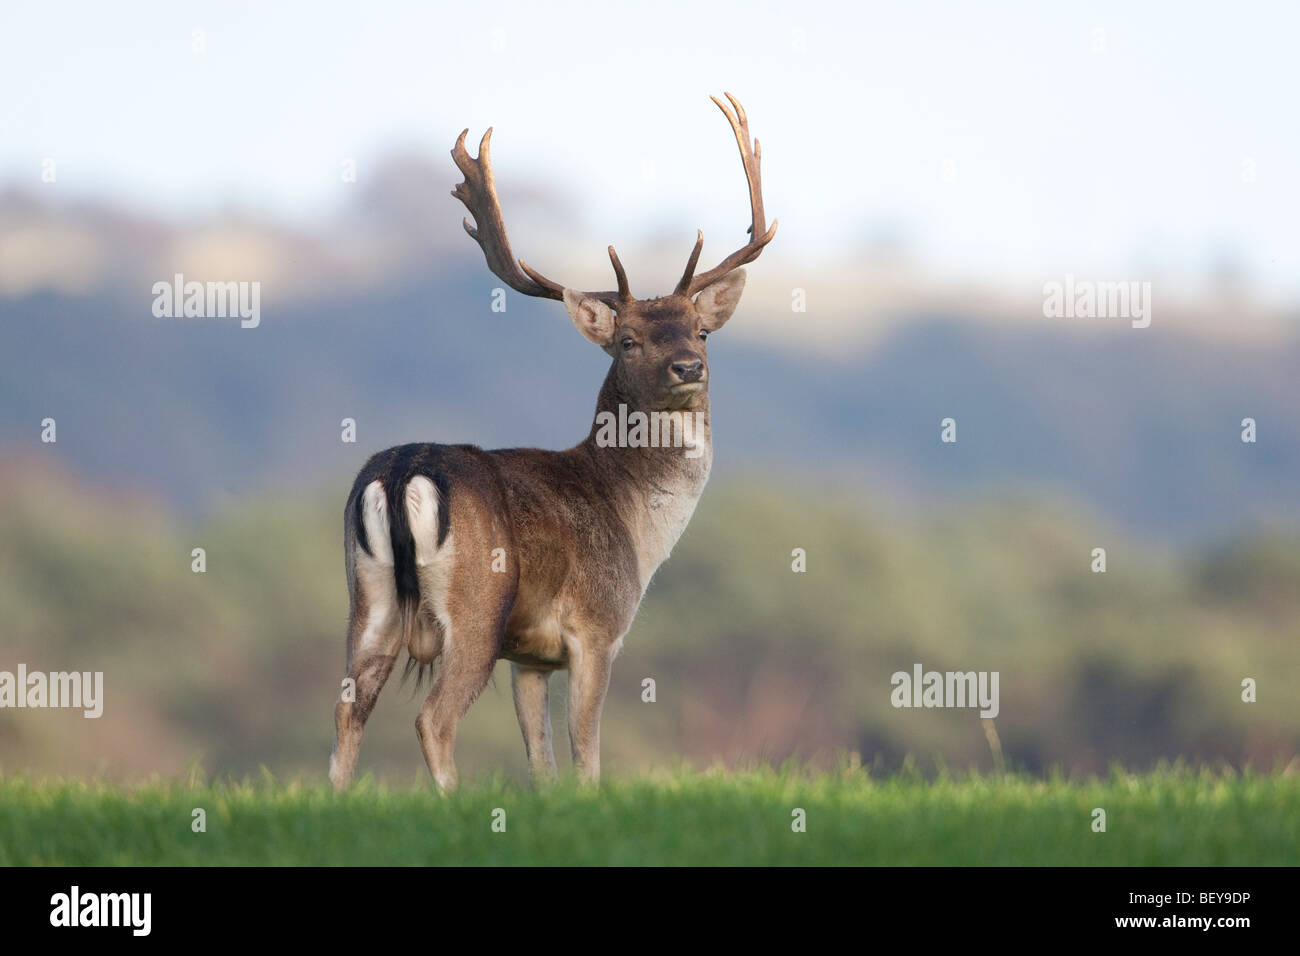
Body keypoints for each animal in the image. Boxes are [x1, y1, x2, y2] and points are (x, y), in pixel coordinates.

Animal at [329, 93, 776, 792]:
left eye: (701, 331)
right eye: (628, 341)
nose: (688, 368)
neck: (637, 527)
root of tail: (402, 472)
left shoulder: (530, 658)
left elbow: (541, 762)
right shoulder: (596, 629)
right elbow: (585, 756)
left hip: (366, 599)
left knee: (348, 709)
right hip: (478, 608)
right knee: (433, 718)